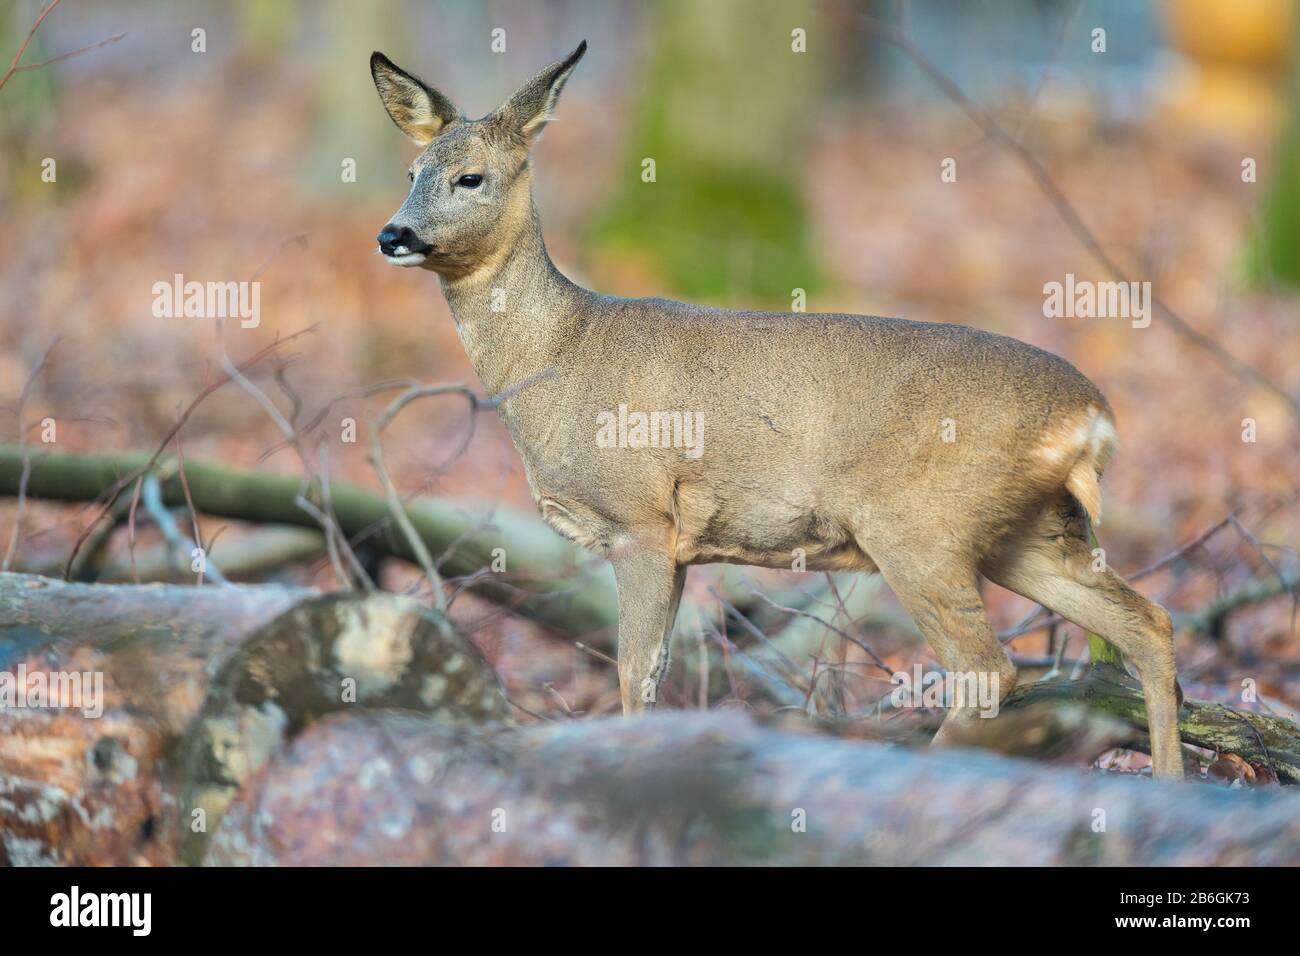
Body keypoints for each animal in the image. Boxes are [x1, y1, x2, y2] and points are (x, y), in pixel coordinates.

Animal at [369, 41, 1184, 779]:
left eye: (470, 176)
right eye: (409, 172)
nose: (393, 234)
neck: (559, 353)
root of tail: (1092, 416)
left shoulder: (640, 519)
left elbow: (633, 673)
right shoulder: (679, 543)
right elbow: (659, 673)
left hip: (921, 525)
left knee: (989, 671)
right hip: (1030, 530)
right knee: (1147, 623)